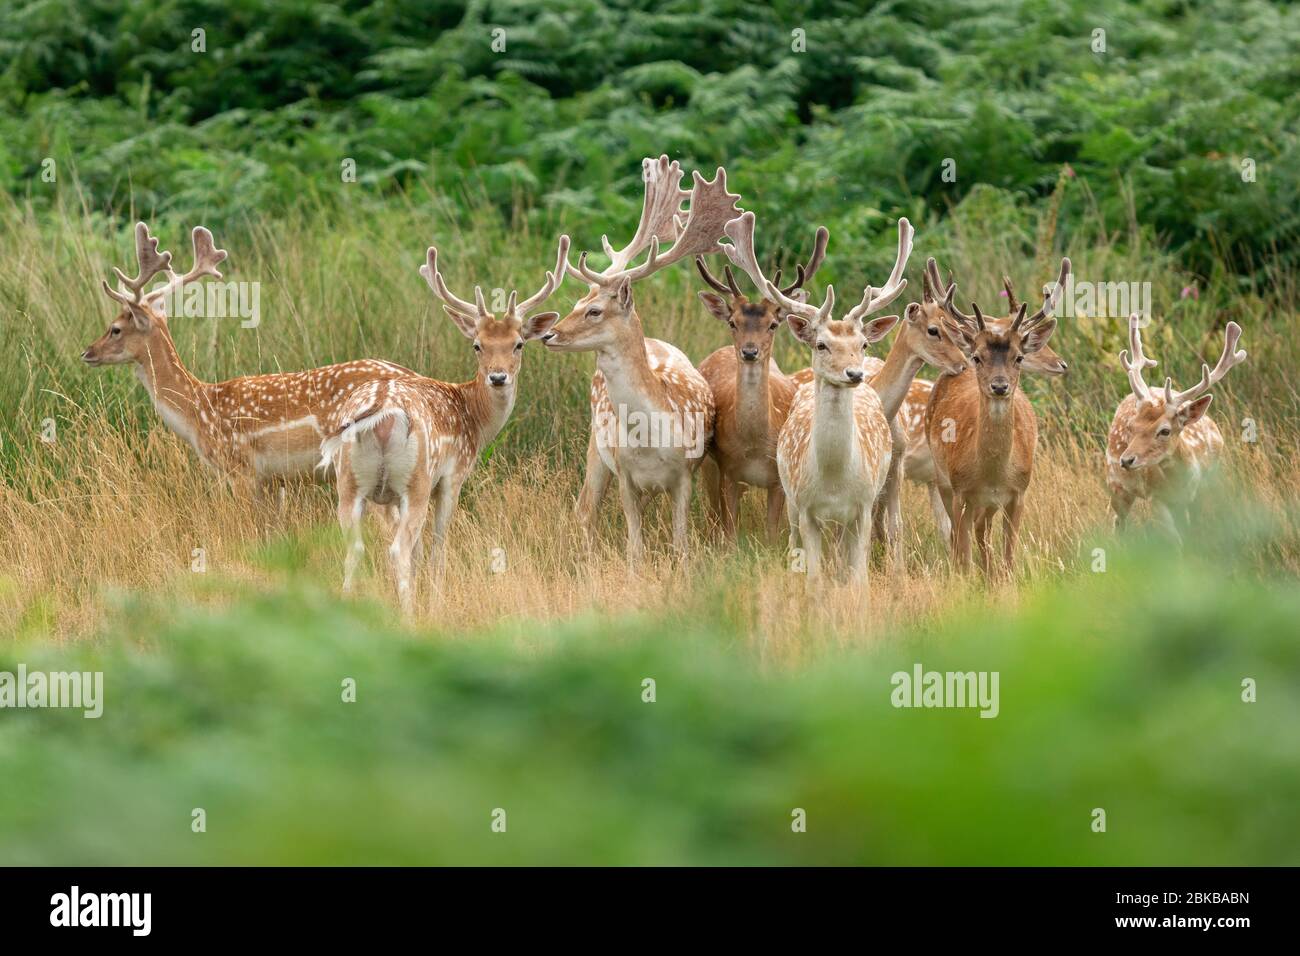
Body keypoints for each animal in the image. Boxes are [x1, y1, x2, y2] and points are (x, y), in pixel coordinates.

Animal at [319, 237, 569, 614]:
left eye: (518, 344)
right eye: (477, 345)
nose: (498, 377)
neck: (474, 418)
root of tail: (380, 411)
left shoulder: (387, 498)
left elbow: (419, 552)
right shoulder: (453, 476)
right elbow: (437, 548)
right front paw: (434, 605)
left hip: (348, 481)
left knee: (355, 549)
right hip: (416, 480)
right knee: (398, 549)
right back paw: (409, 616)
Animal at [540, 155, 740, 566]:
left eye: (594, 311)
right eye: (576, 303)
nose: (549, 334)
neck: (651, 441)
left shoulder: (685, 474)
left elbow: (680, 545)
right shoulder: (625, 475)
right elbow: (635, 548)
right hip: (595, 447)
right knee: (585, 510)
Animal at [693, 214, 828, 542]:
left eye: (772, 325)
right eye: (733, 322)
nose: (749, 351)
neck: (754, 446)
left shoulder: (778, 479)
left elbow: (771, 533)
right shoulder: (728, 470)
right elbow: (729, 533)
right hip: (708, 464)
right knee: (713, 513)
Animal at [752, 217, 914, 584]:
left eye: (863, 344)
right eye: (821, 344)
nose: (854, 373)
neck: (834, 482)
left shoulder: (863, 507)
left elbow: (859, 579)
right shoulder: (806, 509)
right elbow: (814, 579)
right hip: (791, 501)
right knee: (793, 542)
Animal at [1106, 313, 1246, 544]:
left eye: (1165, 430)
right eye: (1131, 427)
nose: (1126, 460)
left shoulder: (1204, 490)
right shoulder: (1156, 497)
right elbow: (1176, 540)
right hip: (1115, 485)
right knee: (1118, 522)